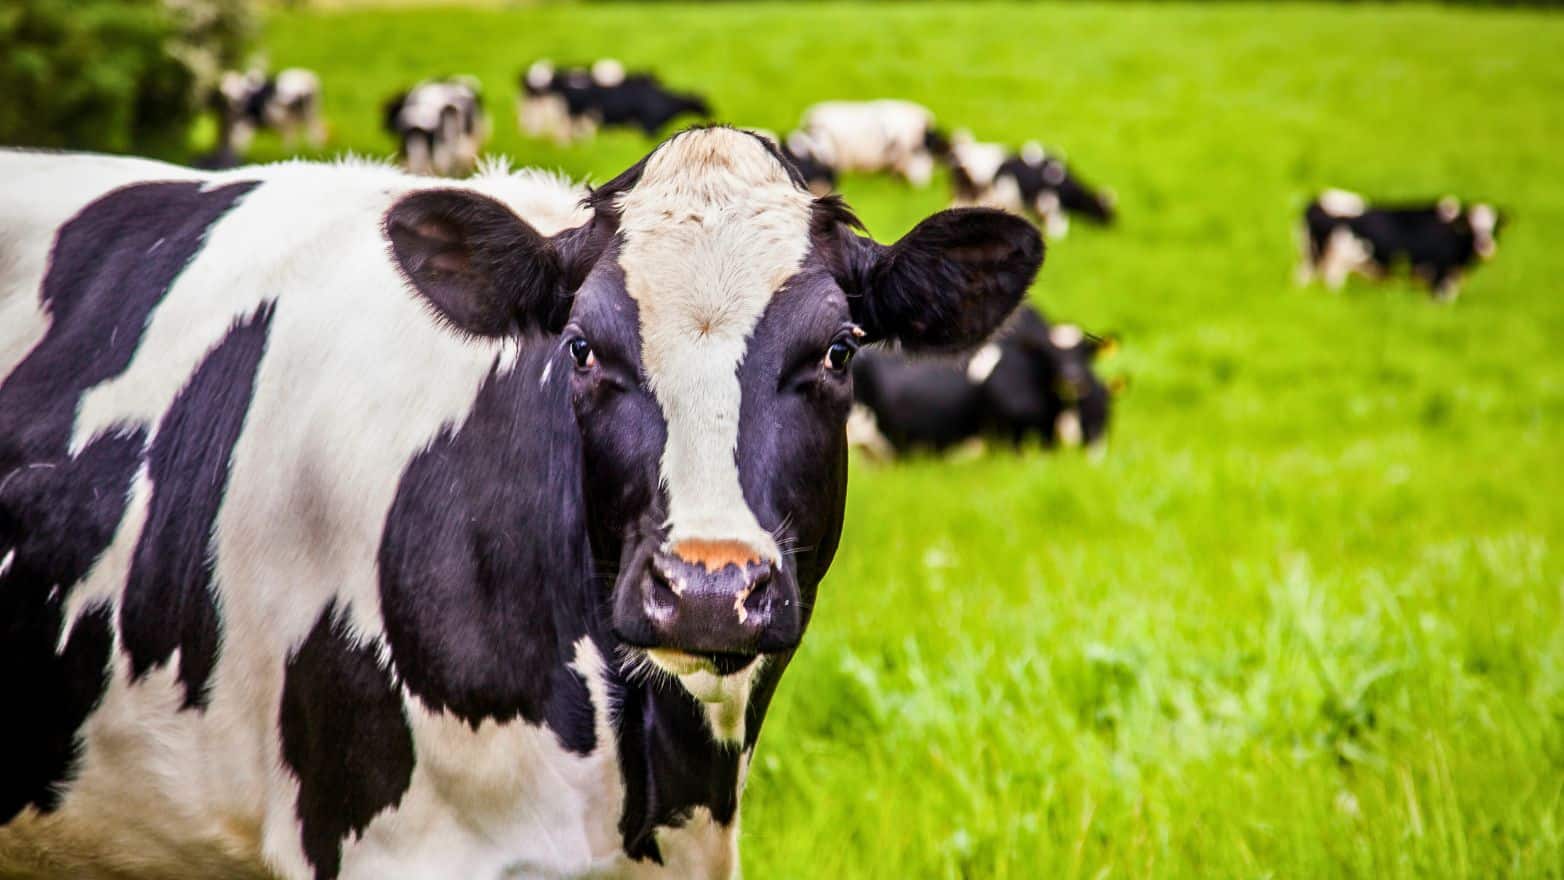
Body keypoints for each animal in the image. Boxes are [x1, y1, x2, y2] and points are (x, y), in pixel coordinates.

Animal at [1297, 188, 1502, 300]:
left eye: (1494, 229)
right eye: (1472, 227)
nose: (1487, 249)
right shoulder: (1440, 278)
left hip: (1311, 260)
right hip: (1336, 265)